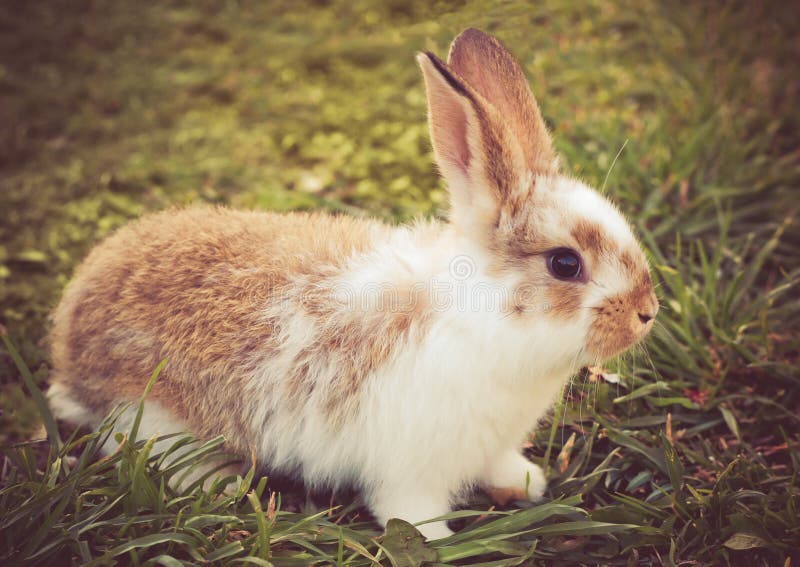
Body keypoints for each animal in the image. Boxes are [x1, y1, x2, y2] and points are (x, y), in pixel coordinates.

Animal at [47, 28, 658, 540]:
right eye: (565, 264)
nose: (647, 311)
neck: (479, 316)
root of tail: (70, 342)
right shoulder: (410, 469)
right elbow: (409, 514)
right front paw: (436, 542)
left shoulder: (488, 444)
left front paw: (527, 483)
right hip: (154, 415)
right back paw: (220, 481)